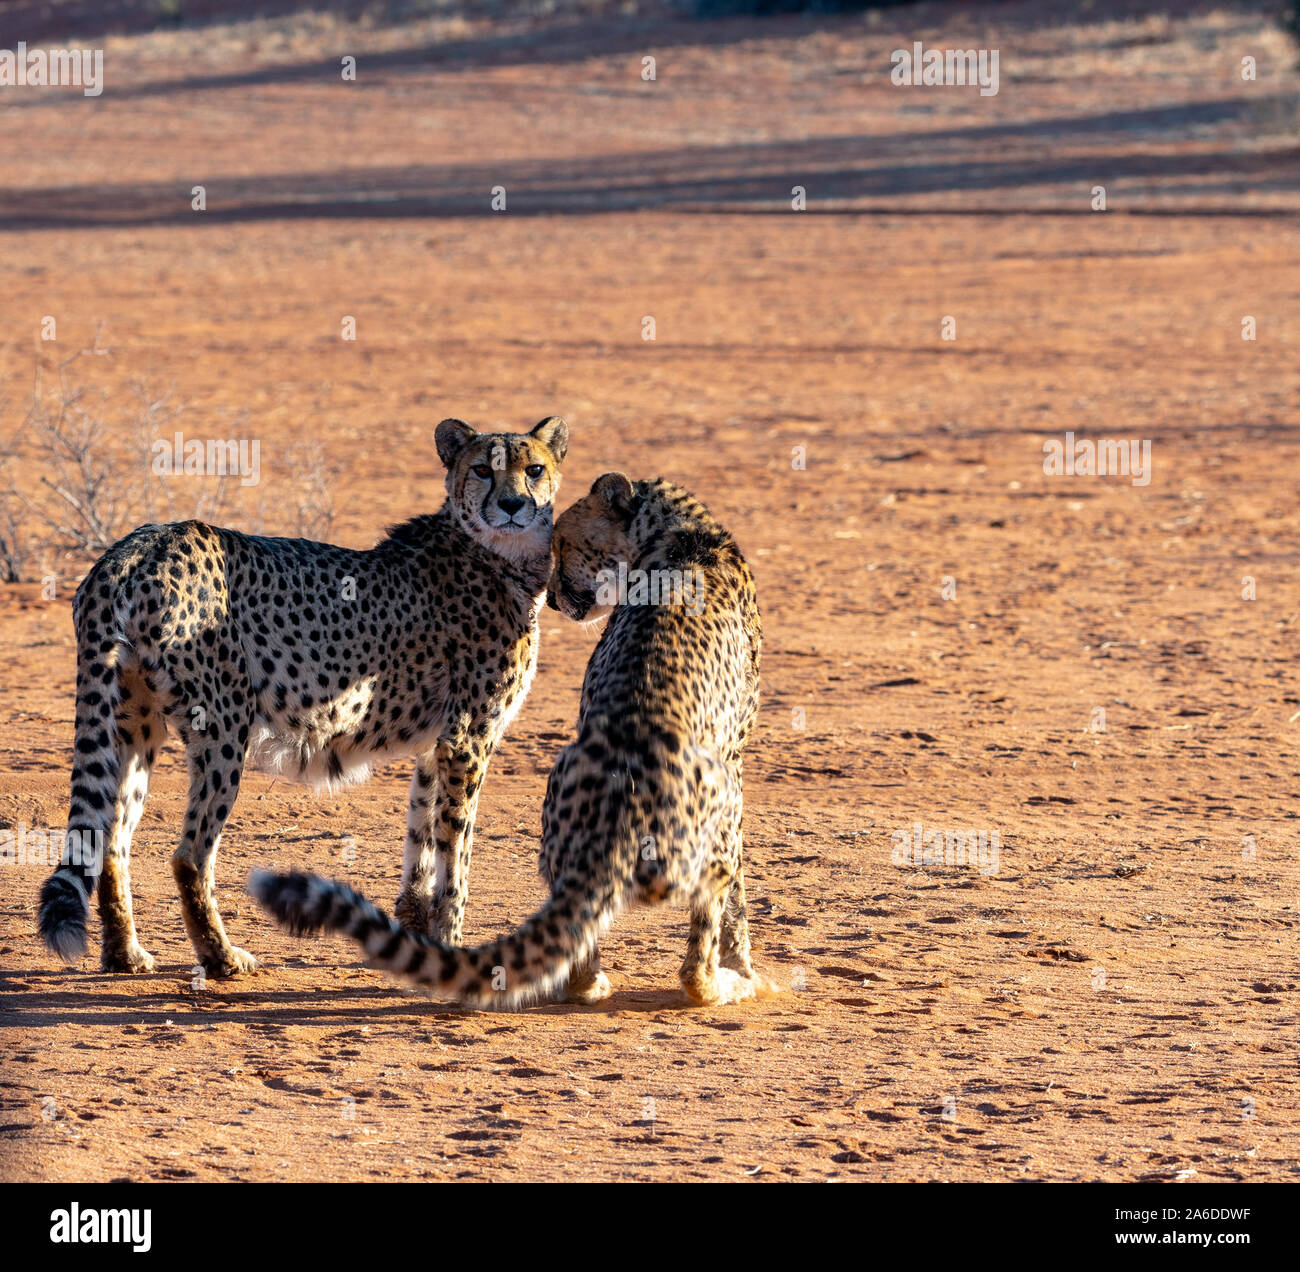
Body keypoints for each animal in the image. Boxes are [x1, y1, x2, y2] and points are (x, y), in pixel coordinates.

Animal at [38, 415, 569, 978]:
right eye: (482, 470)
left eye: (534, 469)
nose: (512, 505)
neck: (498, 554)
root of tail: (139, 545)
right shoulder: (468, 740)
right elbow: (457, 852)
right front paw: (452, 942)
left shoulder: (438, 745)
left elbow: (422, 838)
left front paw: (416, 931)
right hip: (224, 722)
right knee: (189, 855)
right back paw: (221, 957)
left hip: (134, 722)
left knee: (110, 839)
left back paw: (124, 953)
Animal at [251, 473, 777, 1009]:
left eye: (567, 544)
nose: (554, 599)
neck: (680, 533)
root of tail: (617, 823)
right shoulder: (735, 757)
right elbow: (739, 896)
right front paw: (743, 963)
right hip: (716, 812)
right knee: (696, 964)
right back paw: (735, 983)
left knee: (574, 948)